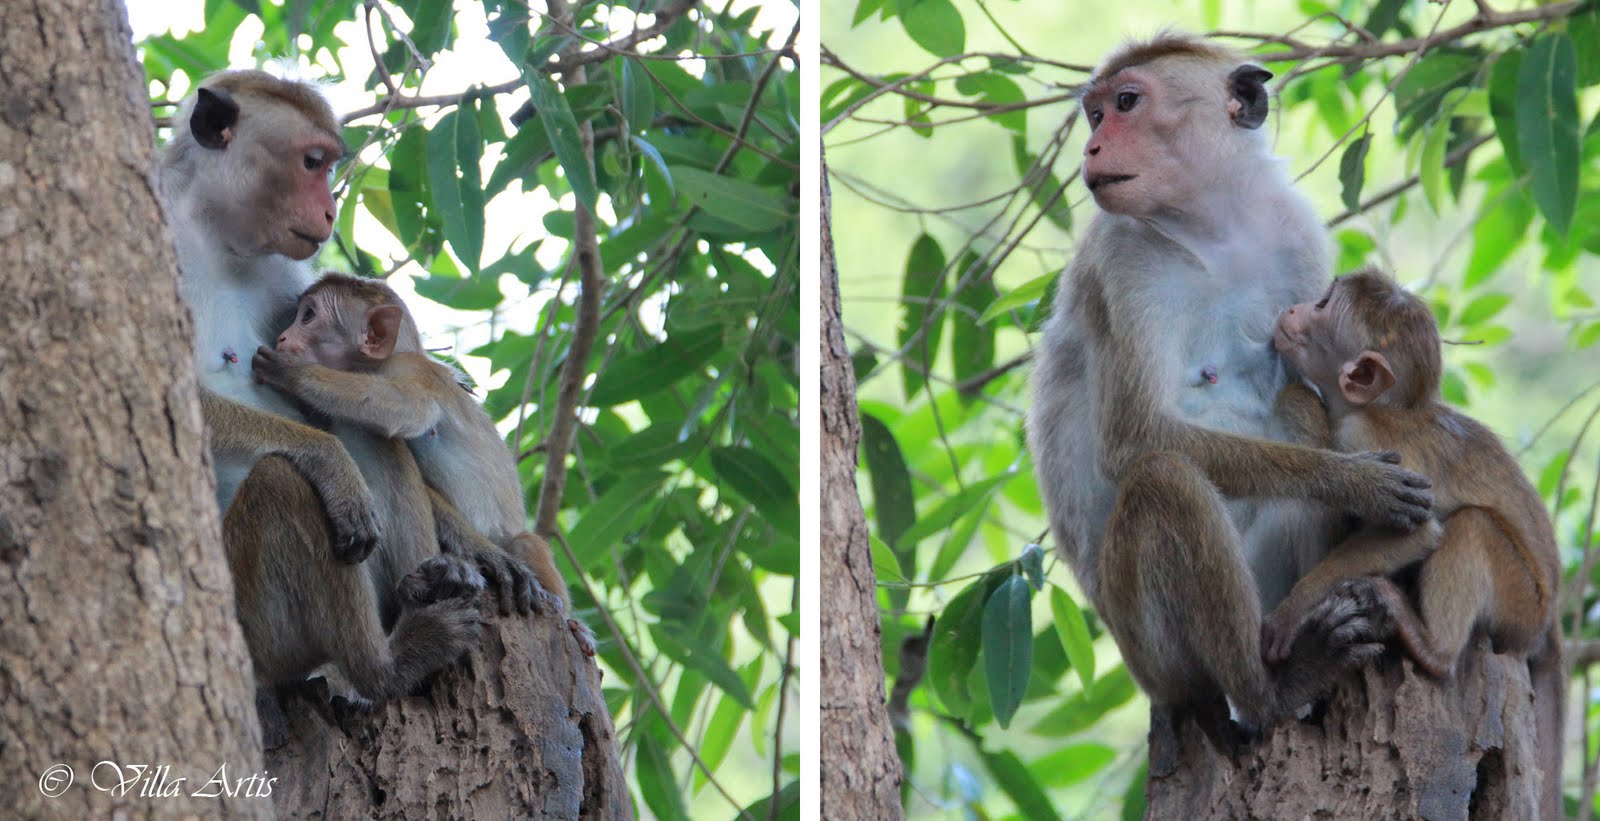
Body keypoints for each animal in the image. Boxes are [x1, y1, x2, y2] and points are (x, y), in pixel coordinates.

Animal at [162, 71, 481, 703]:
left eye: (329, 166)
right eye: (312, 163)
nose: (332, 210)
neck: (213, 236)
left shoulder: (283, 272)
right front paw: (329, 460)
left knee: (374, 439)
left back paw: (428, 583)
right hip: (249, 632)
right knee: (282, 482)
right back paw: (382, 667)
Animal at [251, 273, 595, 654]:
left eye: (308, 316)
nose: (283, 337)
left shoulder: (410, 369)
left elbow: (405, 408)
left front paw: (293, 374)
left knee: (526, 543)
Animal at [1026, 33, 1435, 751]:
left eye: (1125, 104)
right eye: (1095, 115)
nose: (1092, 149)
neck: (1212, 228)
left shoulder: (1296, 233)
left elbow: (1308, 383)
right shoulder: (1122, 261)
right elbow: (1137, 437)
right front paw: (1359, 483)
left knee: (1295, 408)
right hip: (1154, 651)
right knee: (1165, 482)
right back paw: (1270, 691)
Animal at [1259, 268, 1563, 814]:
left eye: (1323, 305)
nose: (1294, 309)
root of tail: (1548, 622)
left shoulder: (1363, 436)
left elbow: (1420, 529)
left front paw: (1292, 610)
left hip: (1522, 601)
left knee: (1473, 526)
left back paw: (1430, 647)